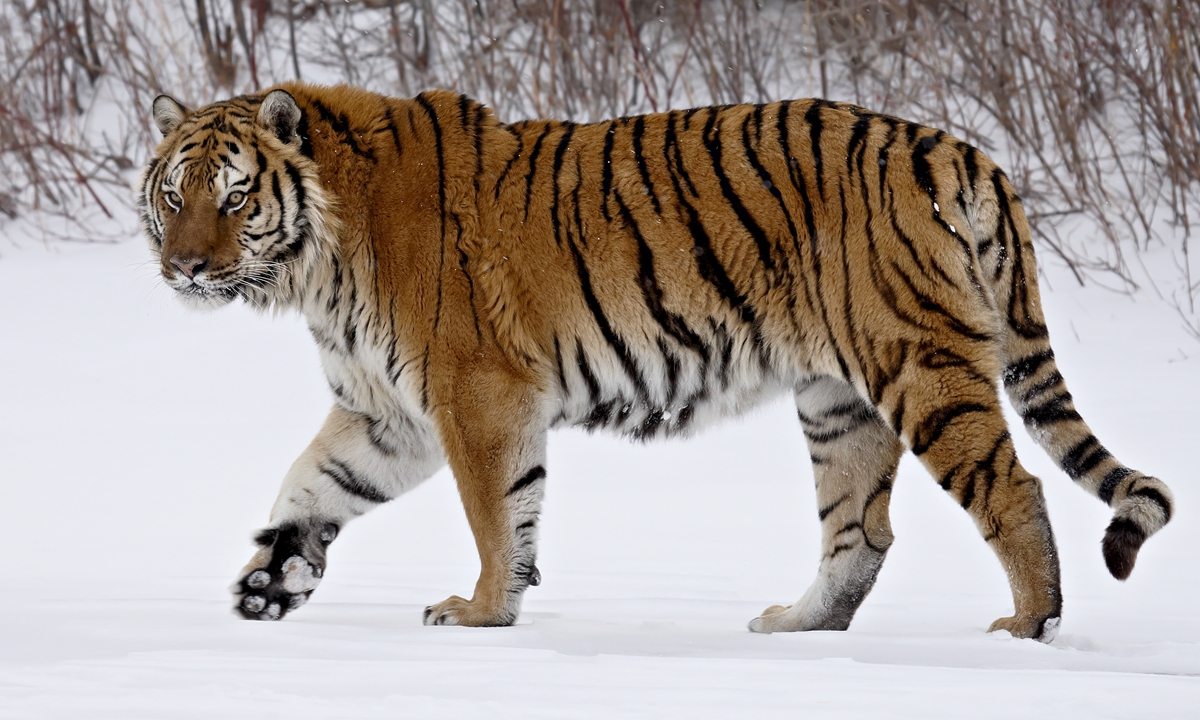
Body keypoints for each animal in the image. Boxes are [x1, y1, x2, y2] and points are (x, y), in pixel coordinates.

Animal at [138, 82, 1174, 642]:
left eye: (235, 198)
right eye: (175, 195)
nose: (183, 267)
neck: (316, 263)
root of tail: (959, 151)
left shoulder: (476, 395)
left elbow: (495, 516)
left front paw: (480, 614)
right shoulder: (386, 412)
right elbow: (311, 482)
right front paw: (272, 577)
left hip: (919, 369)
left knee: (1013, 490)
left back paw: (1030, 627)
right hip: (837, 399)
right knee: (861, 533)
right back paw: (798, 628)